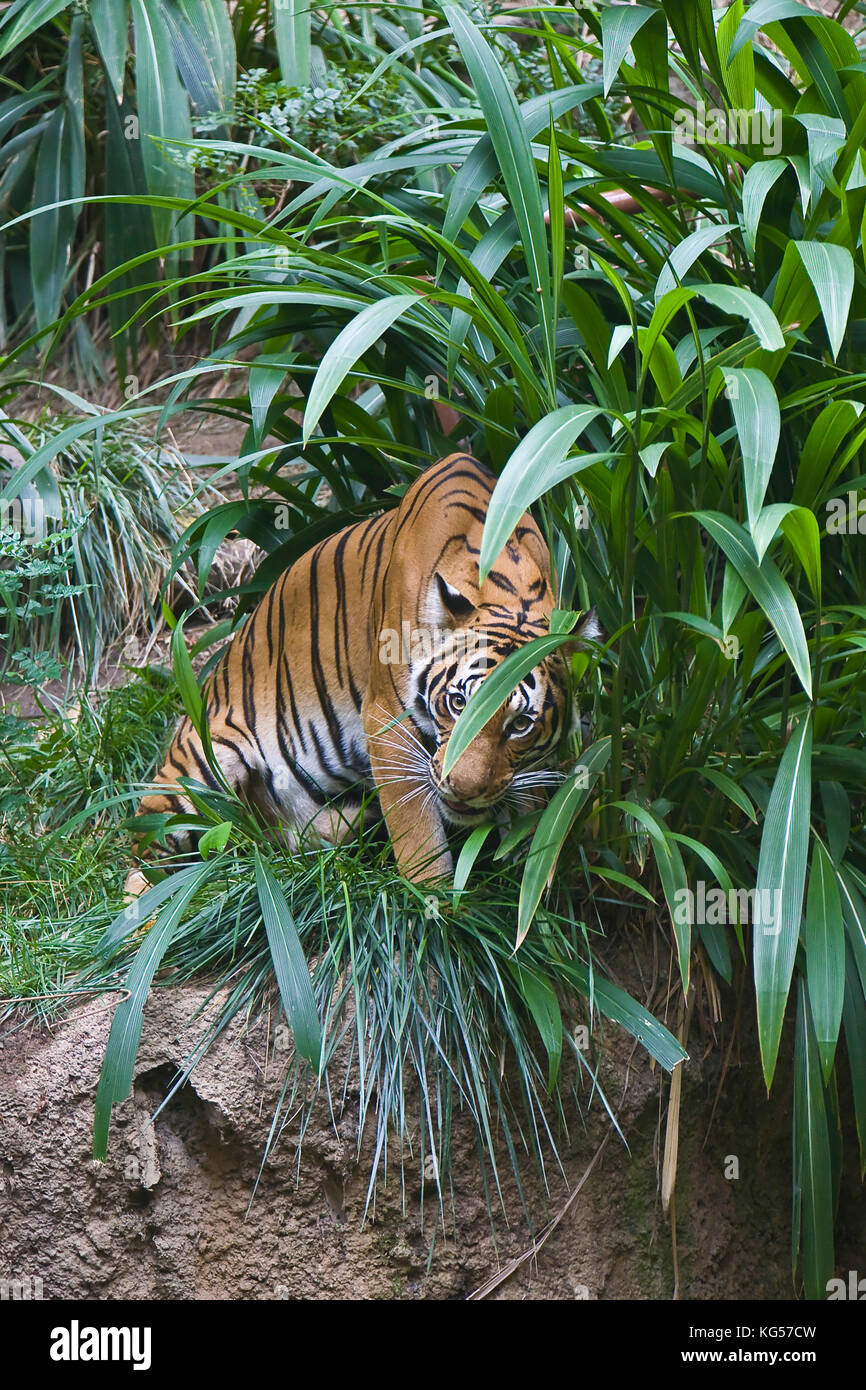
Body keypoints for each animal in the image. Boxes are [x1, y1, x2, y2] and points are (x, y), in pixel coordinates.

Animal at [129, 454, 599, 885]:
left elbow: (529, 821)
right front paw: (435, 905)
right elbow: (418, 837)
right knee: (142, 851)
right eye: (457, 702)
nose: (462, 790)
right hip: (202, 768)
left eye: (520, 725)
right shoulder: (387, 720)